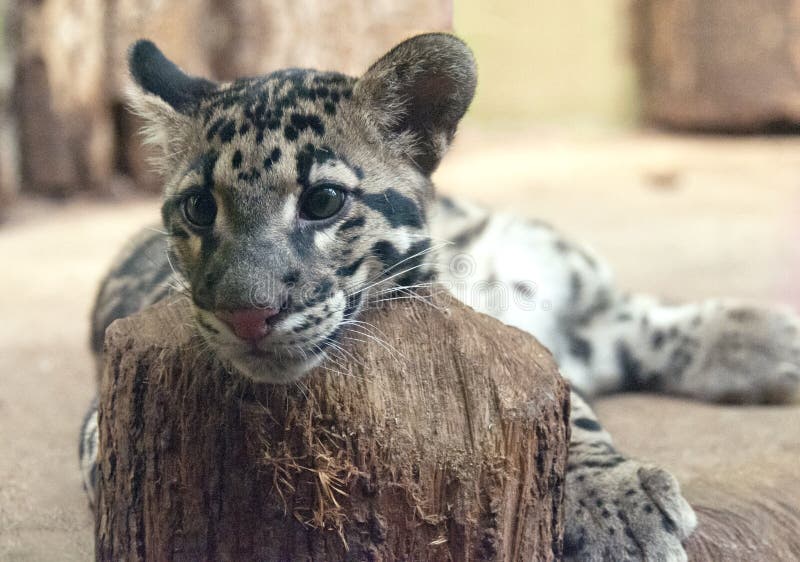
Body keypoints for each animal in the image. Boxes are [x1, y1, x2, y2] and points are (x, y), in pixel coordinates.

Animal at [79, 34, 800, 561]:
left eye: (323, 201)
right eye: (200, 208)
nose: (245, 315)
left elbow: (588, 390)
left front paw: (612, 499)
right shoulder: (104, 430)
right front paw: (613, 506)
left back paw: (766, 337)